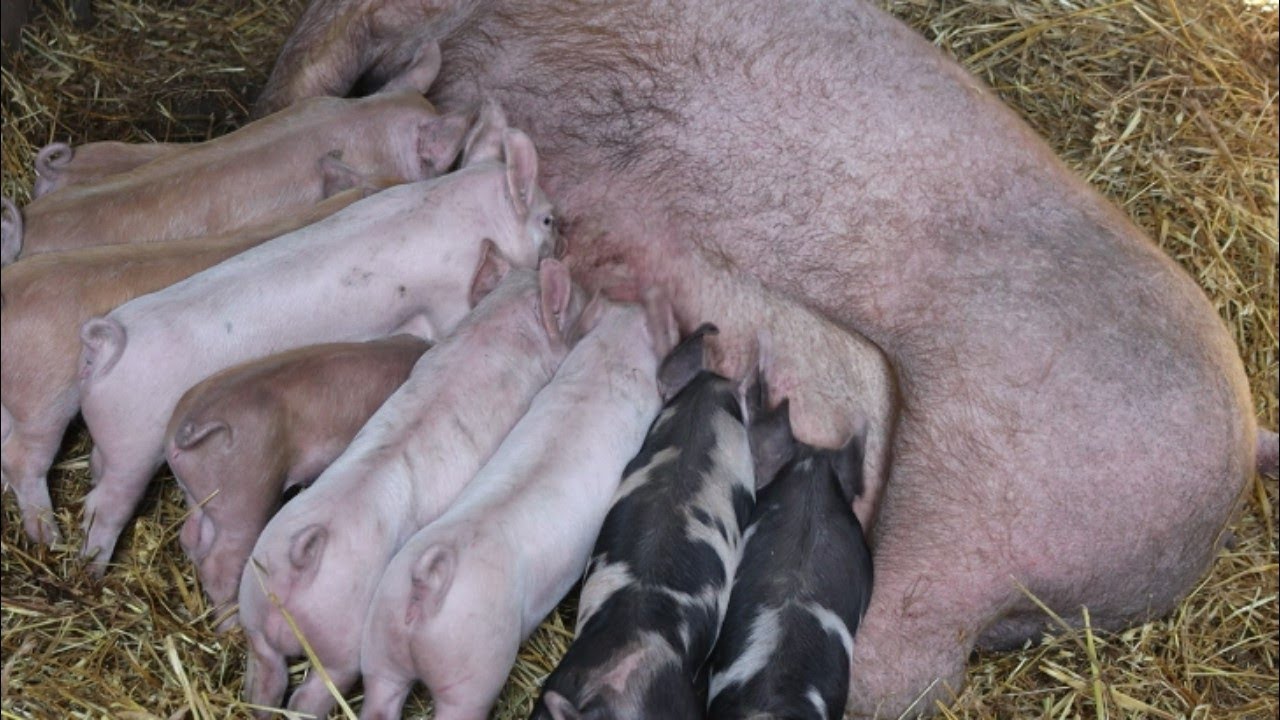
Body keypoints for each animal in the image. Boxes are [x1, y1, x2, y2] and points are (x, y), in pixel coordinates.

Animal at [75, 125, 553, 575]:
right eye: (548, 219)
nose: (560, 239)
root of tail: (110, 342)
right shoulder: (447, 300)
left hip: (114, 445)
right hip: (133, 449)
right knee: (104, 506)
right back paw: (94, 568)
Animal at [165, 334, 430, 626]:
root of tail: (189, 426)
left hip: (199, 495)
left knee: (190, 538)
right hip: (246, 495)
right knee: (219, 564)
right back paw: (230, 625)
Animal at [239, 257, 584, 719]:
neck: (493, 330)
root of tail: (302, 553)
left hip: (256, 608)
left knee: (265, 680)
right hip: (339, 639)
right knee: (313, 693)